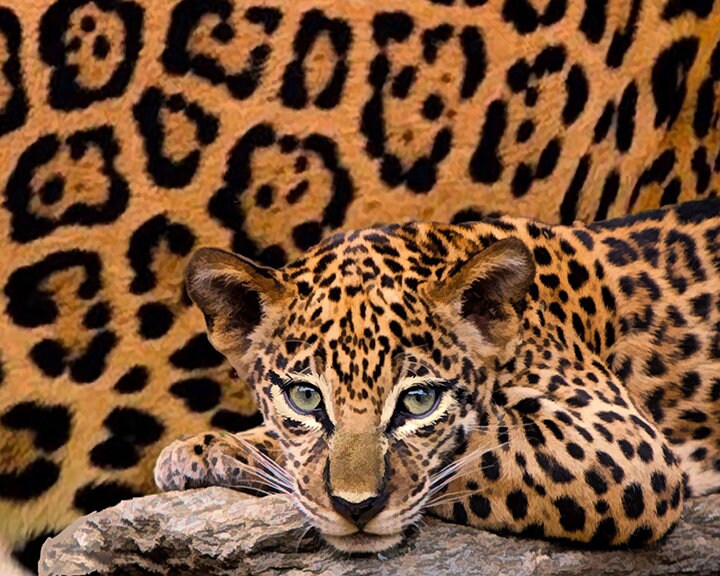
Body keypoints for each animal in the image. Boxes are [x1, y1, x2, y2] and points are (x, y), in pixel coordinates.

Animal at [156, 197, 720, 553]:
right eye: (305, 399)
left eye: (418, 401)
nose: (355, 510)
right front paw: (206, 450)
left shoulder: (623, 445)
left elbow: (471, 453)